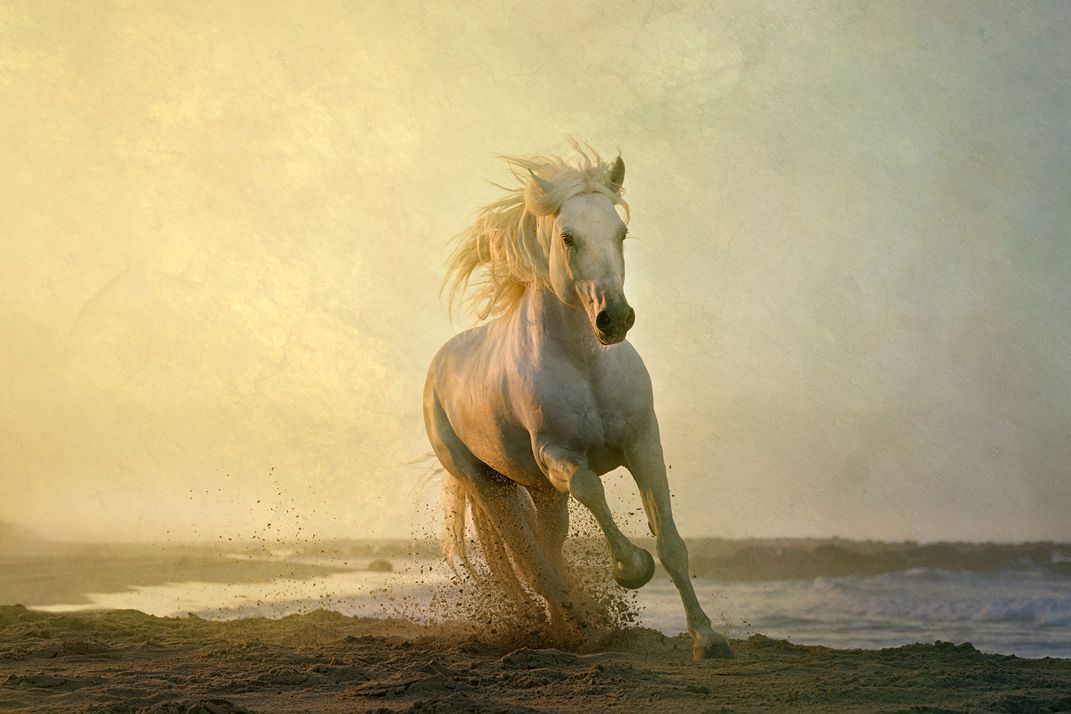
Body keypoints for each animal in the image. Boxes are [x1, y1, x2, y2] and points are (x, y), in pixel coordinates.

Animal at [423, 144, 732, 660]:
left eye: (620, 232)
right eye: (568, 237)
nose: (614, 318)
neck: (587, 366)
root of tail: (438, 366)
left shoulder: (643, 443)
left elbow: (671, 541)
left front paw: (707, 639)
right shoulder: (557, 456)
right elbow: (592, 488)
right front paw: (631, 568)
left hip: (539, 493)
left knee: (545, 551)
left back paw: (568, 624)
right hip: (486, 482)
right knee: (527, 559)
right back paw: (571, 626)